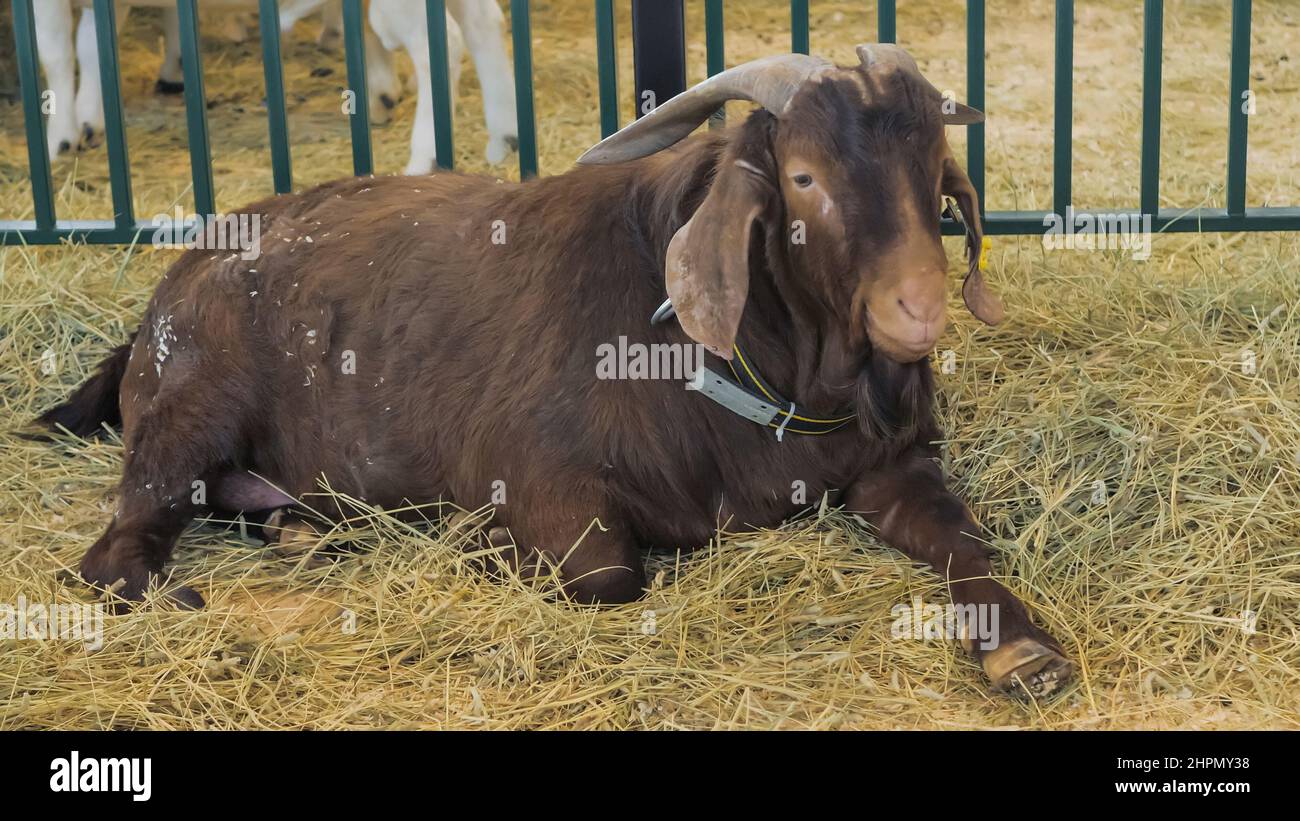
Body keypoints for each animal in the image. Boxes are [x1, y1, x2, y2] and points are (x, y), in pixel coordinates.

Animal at [31, 0, 517, 173]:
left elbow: (56, 52)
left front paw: (60, 138)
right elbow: (93, 48)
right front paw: (90, 122)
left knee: (442, 43)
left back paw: (424, 159)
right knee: (483, 23)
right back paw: (504, 137)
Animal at [38, 44, 1072, 698]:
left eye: (934, 168)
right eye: (806, 177)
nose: (917, 311)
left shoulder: (889, 460)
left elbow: (966, 540)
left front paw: (1022, 648)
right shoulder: (543, 485)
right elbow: (608, 575)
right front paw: (479, 546)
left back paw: (297, 530)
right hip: (190, 412)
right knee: (115, 551)